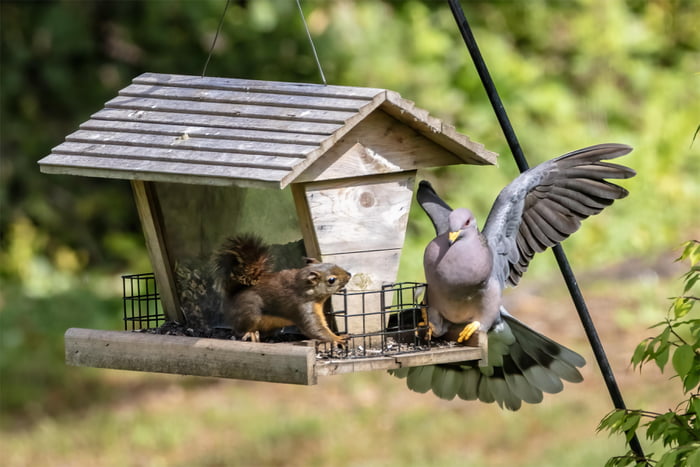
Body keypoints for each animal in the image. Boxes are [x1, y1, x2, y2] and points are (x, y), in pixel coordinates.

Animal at [215, 234, 351, 344]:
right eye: (331, 280)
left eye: (334, 264)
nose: (349, 275)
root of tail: (232, 296)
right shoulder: (302, 308)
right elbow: (315, 328)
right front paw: (337, 338)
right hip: (249, 312)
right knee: (239, 329)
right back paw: (250, 333)